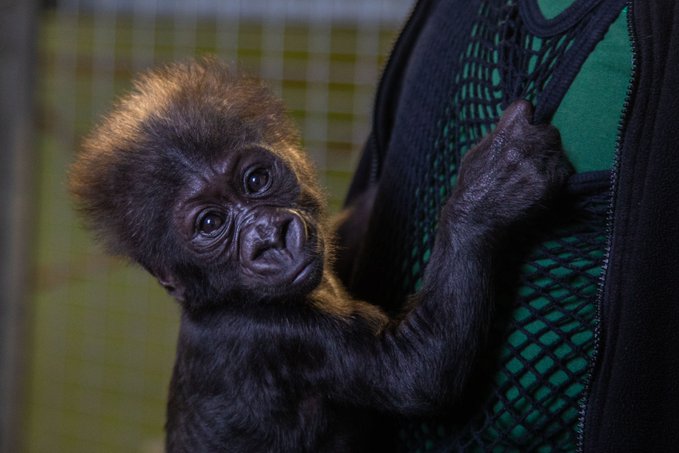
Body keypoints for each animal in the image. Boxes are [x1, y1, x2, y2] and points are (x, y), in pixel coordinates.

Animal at [68, 58, 570, 452]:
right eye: (210, 224)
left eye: (256, 180)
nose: (270, 237)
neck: (216, 298)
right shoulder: (270, 333)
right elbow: (417, 372)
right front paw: (491, 188)